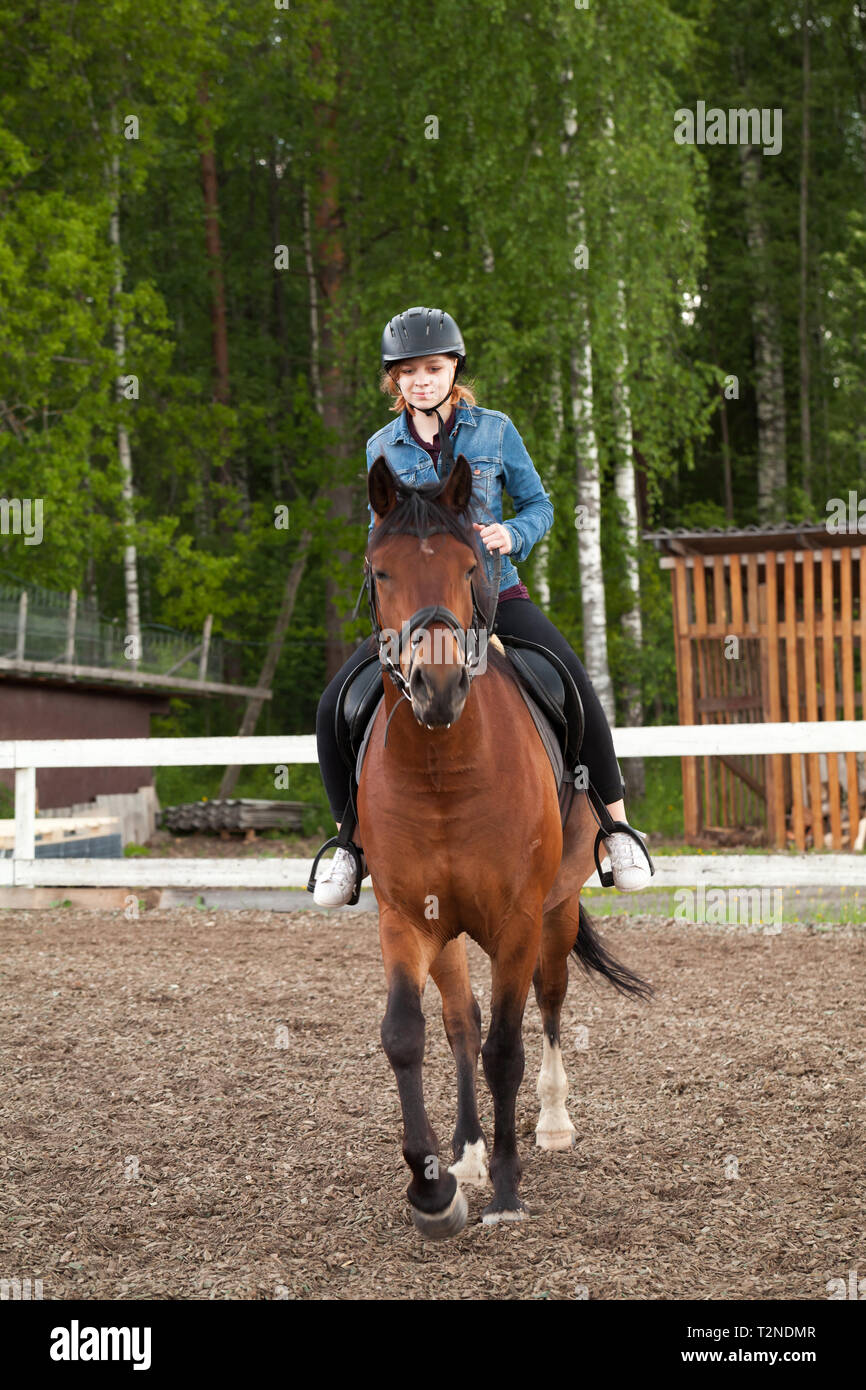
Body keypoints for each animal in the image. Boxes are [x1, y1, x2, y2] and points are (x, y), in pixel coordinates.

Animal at [355, 453, 651, 1240]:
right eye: (381, 571)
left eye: (468, 566)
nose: (437, 686)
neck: (442, 772)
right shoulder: (406, 917)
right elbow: (410, 1034)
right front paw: (434, 1188)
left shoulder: (519, 919)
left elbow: (507, 1050)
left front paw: (510, 1191)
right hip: (452, 932)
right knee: (461, 1024)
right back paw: (466, 1158)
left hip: (557, 910)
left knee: (547, 1003)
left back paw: (549, 1123)